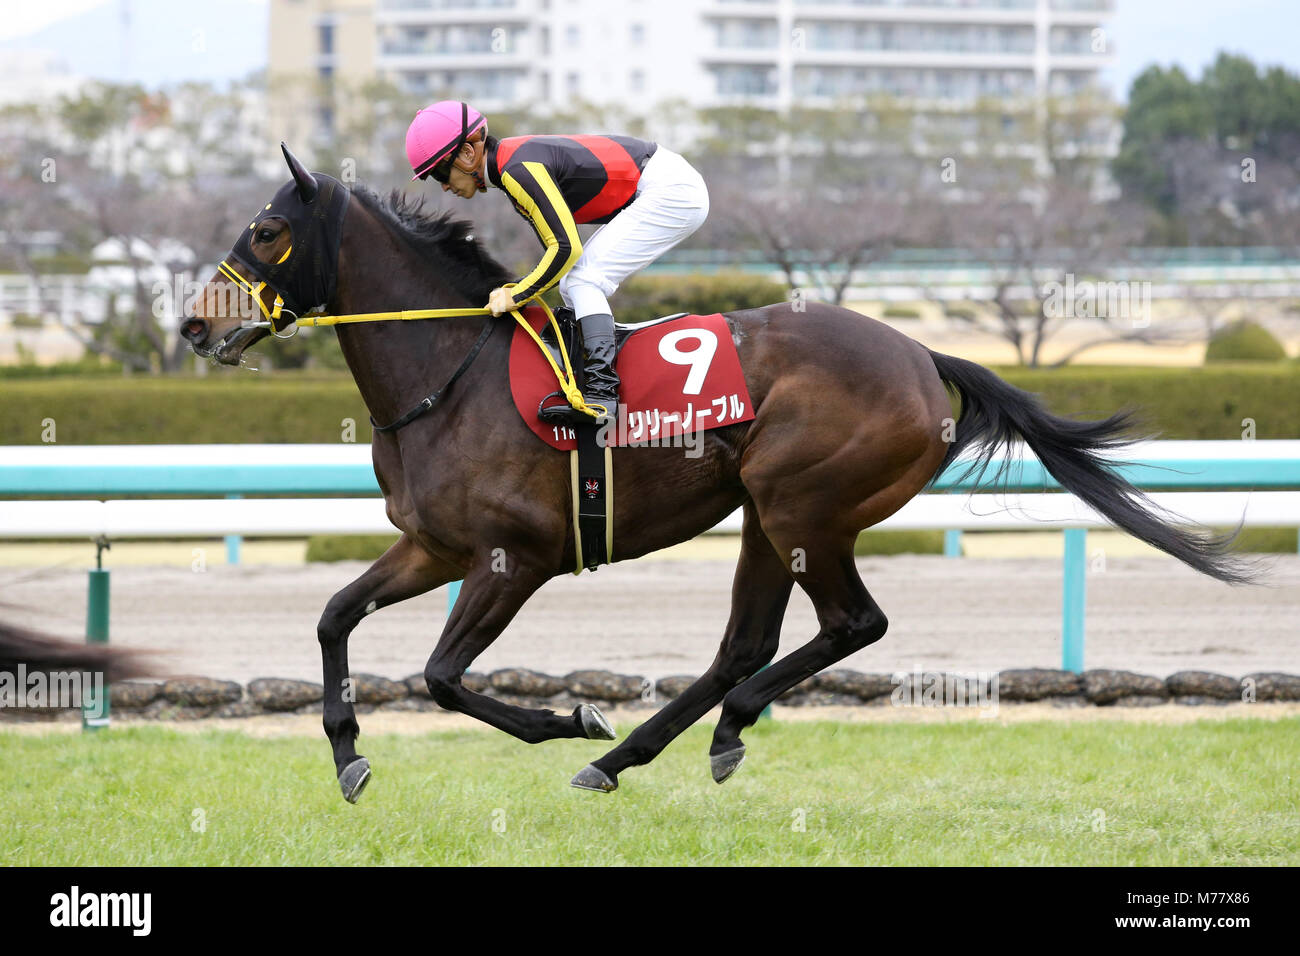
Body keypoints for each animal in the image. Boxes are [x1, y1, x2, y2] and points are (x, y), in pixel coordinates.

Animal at [181, 146, 1251, 803]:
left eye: (267, 233)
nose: (193, 323)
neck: (448, 374)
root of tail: (922, 356)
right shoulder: (433, 547)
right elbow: (333, 618)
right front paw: (348, 756)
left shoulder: (512, 557)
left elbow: (444, 677)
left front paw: (570, 716)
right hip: (763, 515)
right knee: (745, 643)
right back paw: (637, 756)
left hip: (802, 504)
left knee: (851, 625)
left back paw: (675, 737)